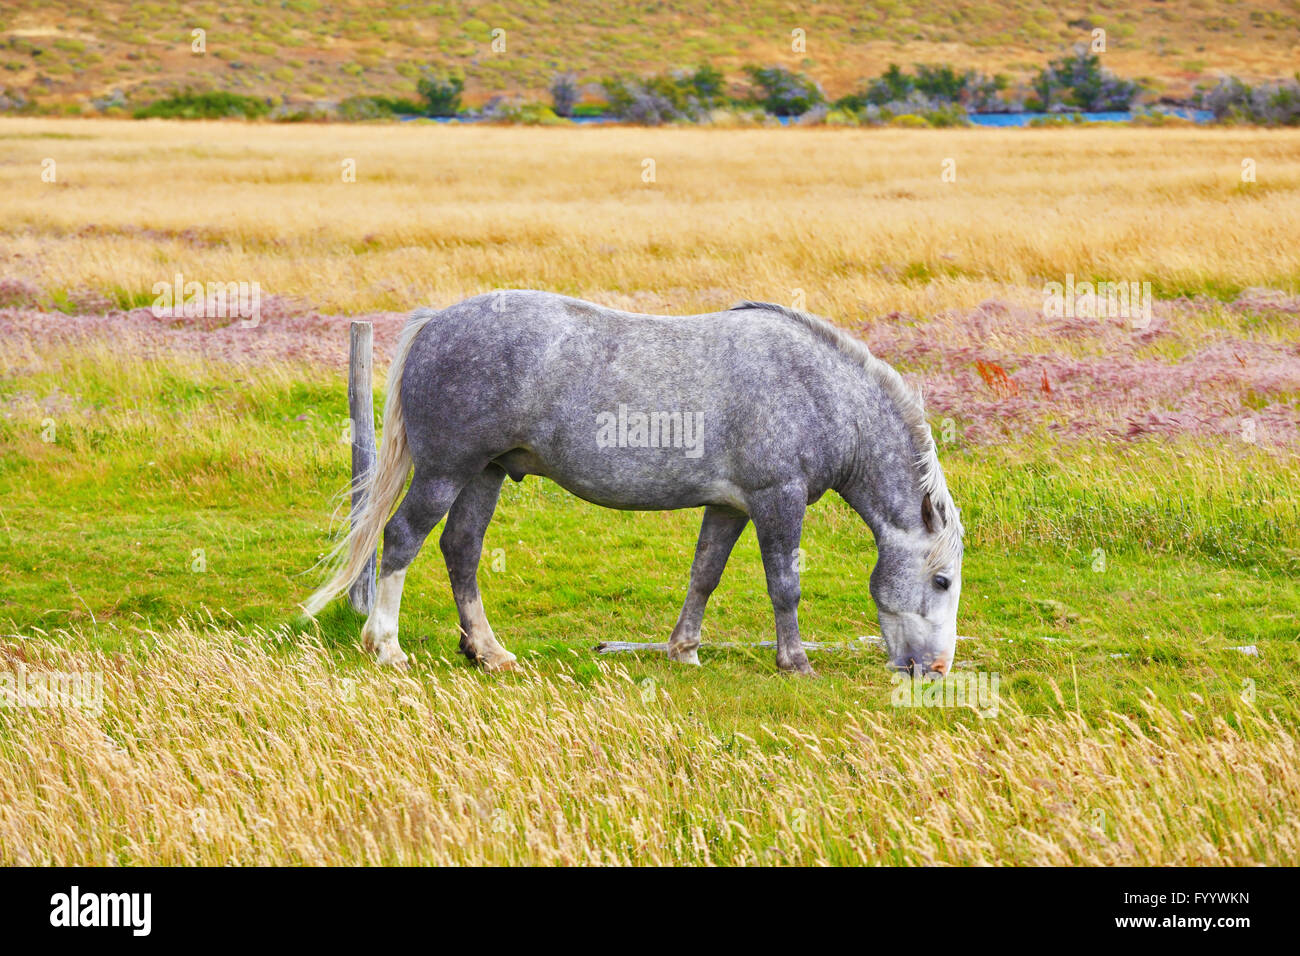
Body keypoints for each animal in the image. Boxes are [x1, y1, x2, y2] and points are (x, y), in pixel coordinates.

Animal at [304, 290, 964, 677]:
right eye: (942, 580)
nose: (935, 669)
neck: (820, 391)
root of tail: (436, 321)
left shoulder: (731, 506)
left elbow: (705, 574)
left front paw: (685, 650)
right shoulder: (778, 499)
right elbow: (784, 586)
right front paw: (794, 662)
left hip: (484, 474)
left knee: (460, 550)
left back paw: (487, 652)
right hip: (446, 471)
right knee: (401, 540)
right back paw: (386, 644)